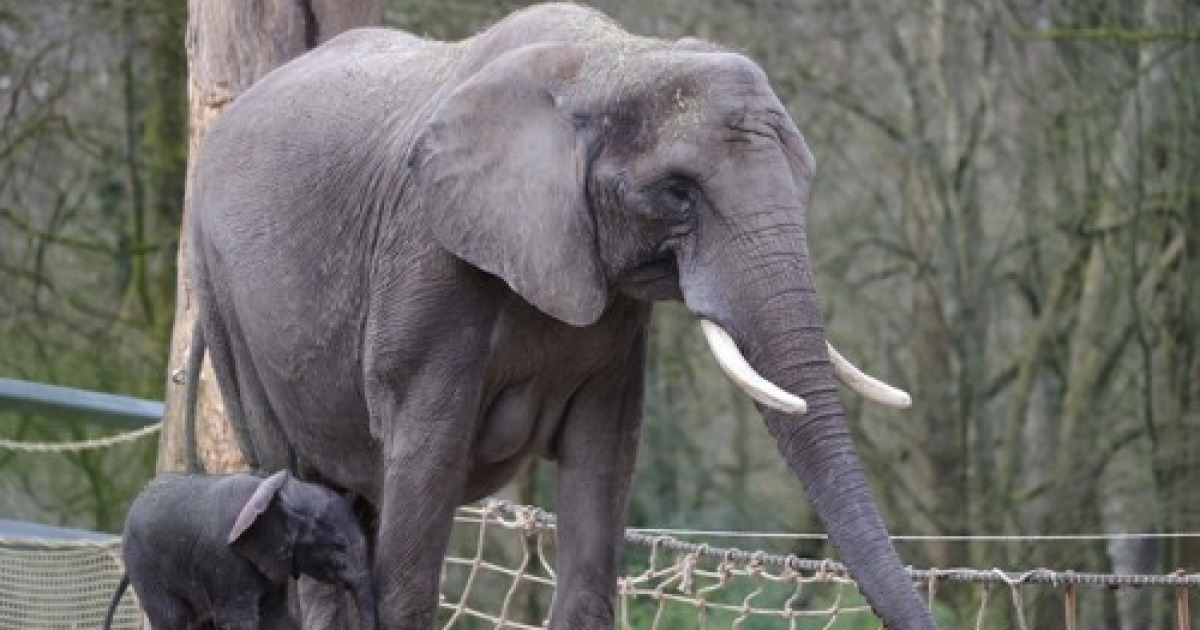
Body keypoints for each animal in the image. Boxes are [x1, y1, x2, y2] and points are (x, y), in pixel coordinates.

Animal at [103, 470, 377, 630]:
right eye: (339, 548)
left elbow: (275, 615)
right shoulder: (225, 559)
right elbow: (238, 618)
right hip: (143, 565)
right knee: (172, 618)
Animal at [184, 3, 935, 628]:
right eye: (676, 193)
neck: (612, 60)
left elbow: (602, 469)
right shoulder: (427, 258)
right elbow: (422, 484)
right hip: (221, 294)